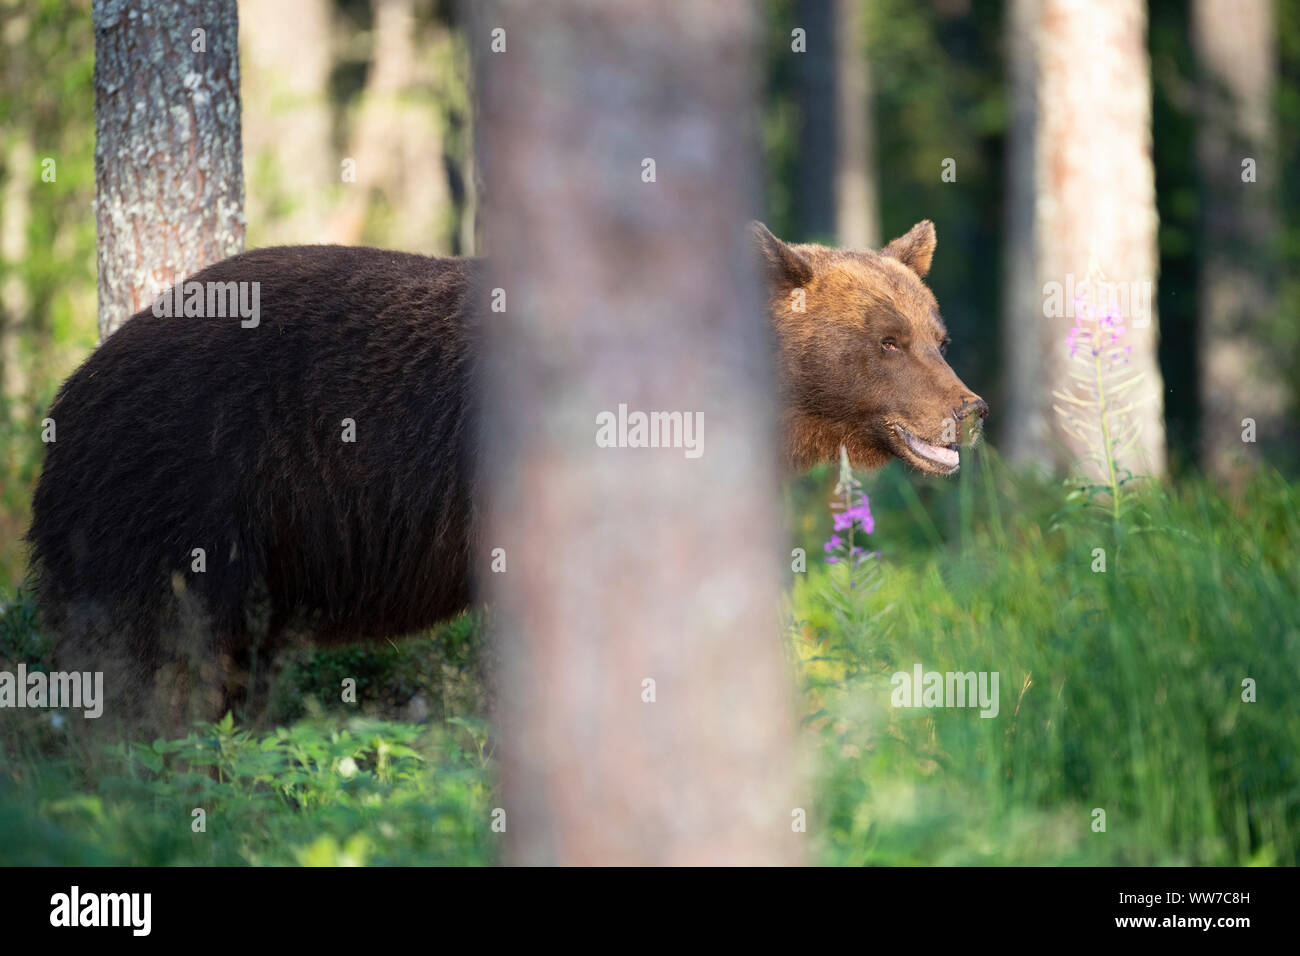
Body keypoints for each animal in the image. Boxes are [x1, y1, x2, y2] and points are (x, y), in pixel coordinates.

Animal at [26, 222, 984, 731]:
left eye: (935, 333)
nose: (969, 410)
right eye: (887, 341)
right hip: (181, 492)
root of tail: (71, 389)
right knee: (154, 656)